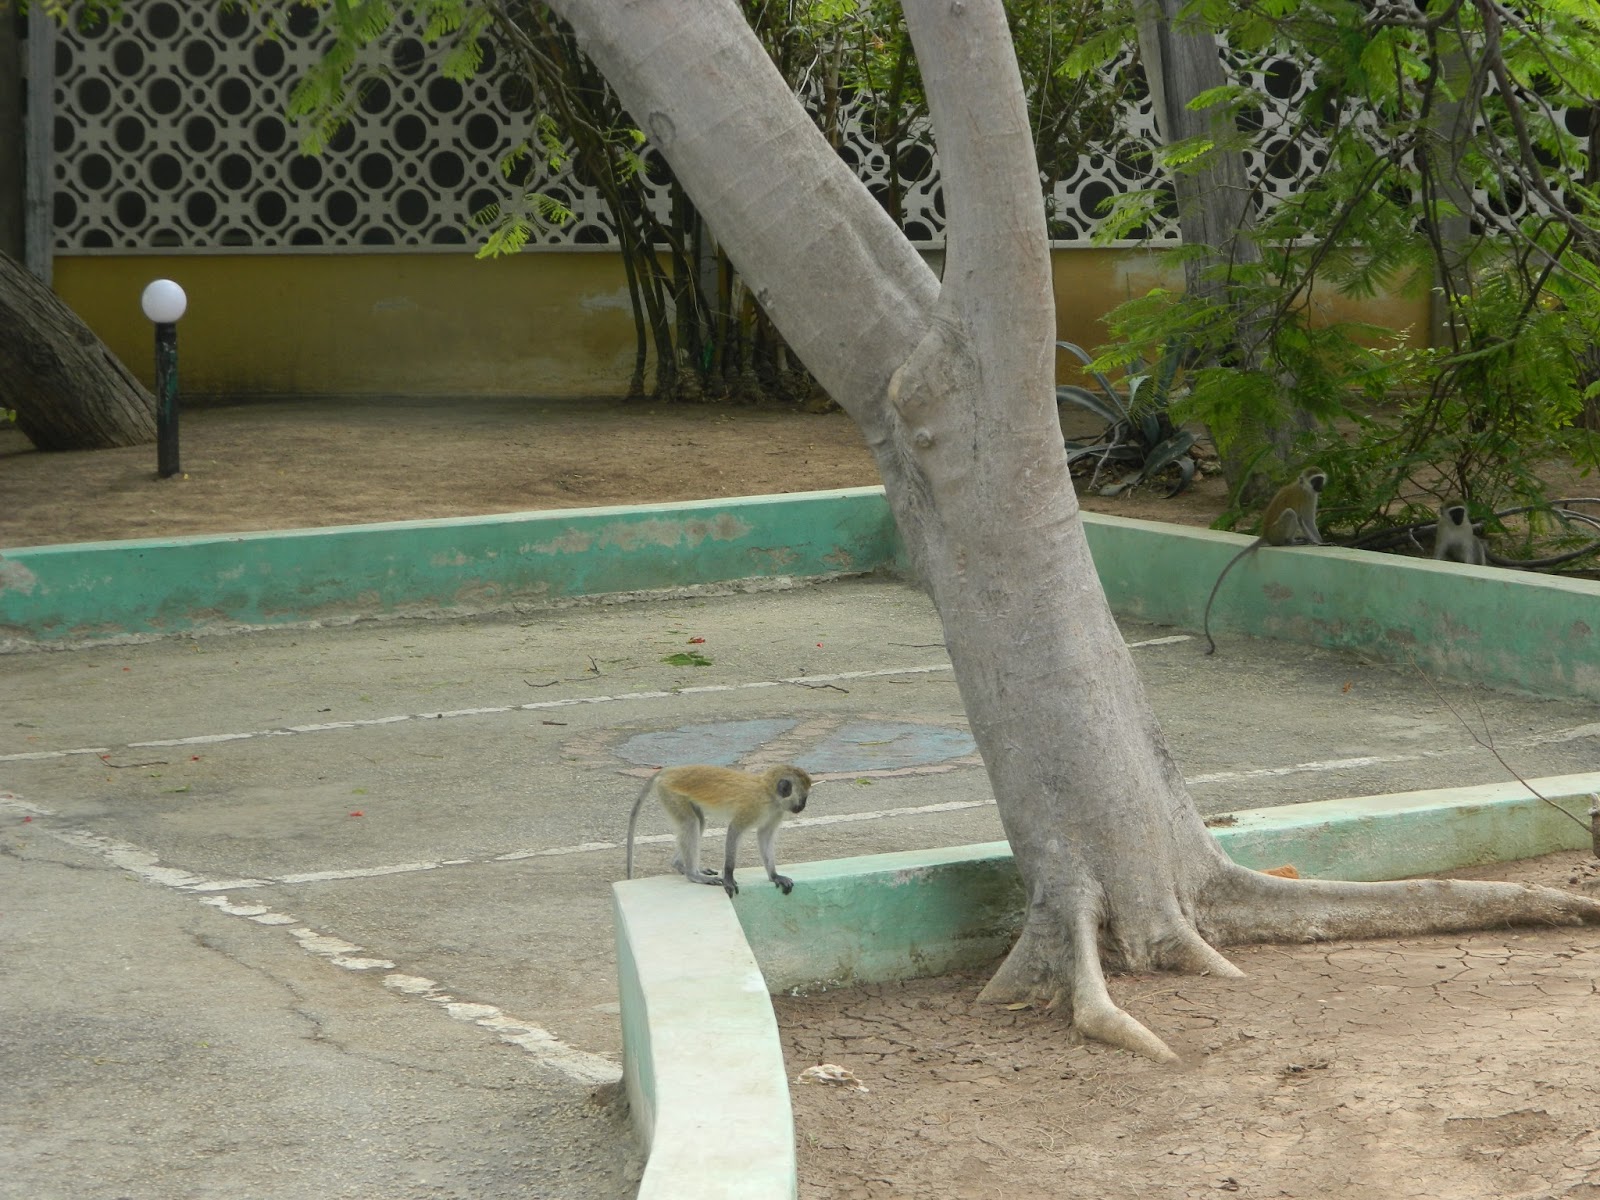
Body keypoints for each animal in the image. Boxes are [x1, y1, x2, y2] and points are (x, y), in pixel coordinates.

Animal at [625, 764, 812, 897]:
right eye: (804, 797)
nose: (803, 806)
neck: (769, 793)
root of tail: (671, 771)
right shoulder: (753, 806)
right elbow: (735, 830)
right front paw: (728, 877)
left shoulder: (776, 811)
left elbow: (764, 835)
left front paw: (774, 875)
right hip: (670, 793)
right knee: (690, 823)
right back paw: (693, 875)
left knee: (698, 822)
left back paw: (680, 864)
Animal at [1202, 467, 1327, 655]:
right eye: (1315, 480)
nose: (1319, 487)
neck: (1303, 486)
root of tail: (1266, 534)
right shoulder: (1308, 497)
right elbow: (1306, 521)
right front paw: (1320, 542)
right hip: (1278, 531)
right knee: (1291, 514)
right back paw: (1288, 542)